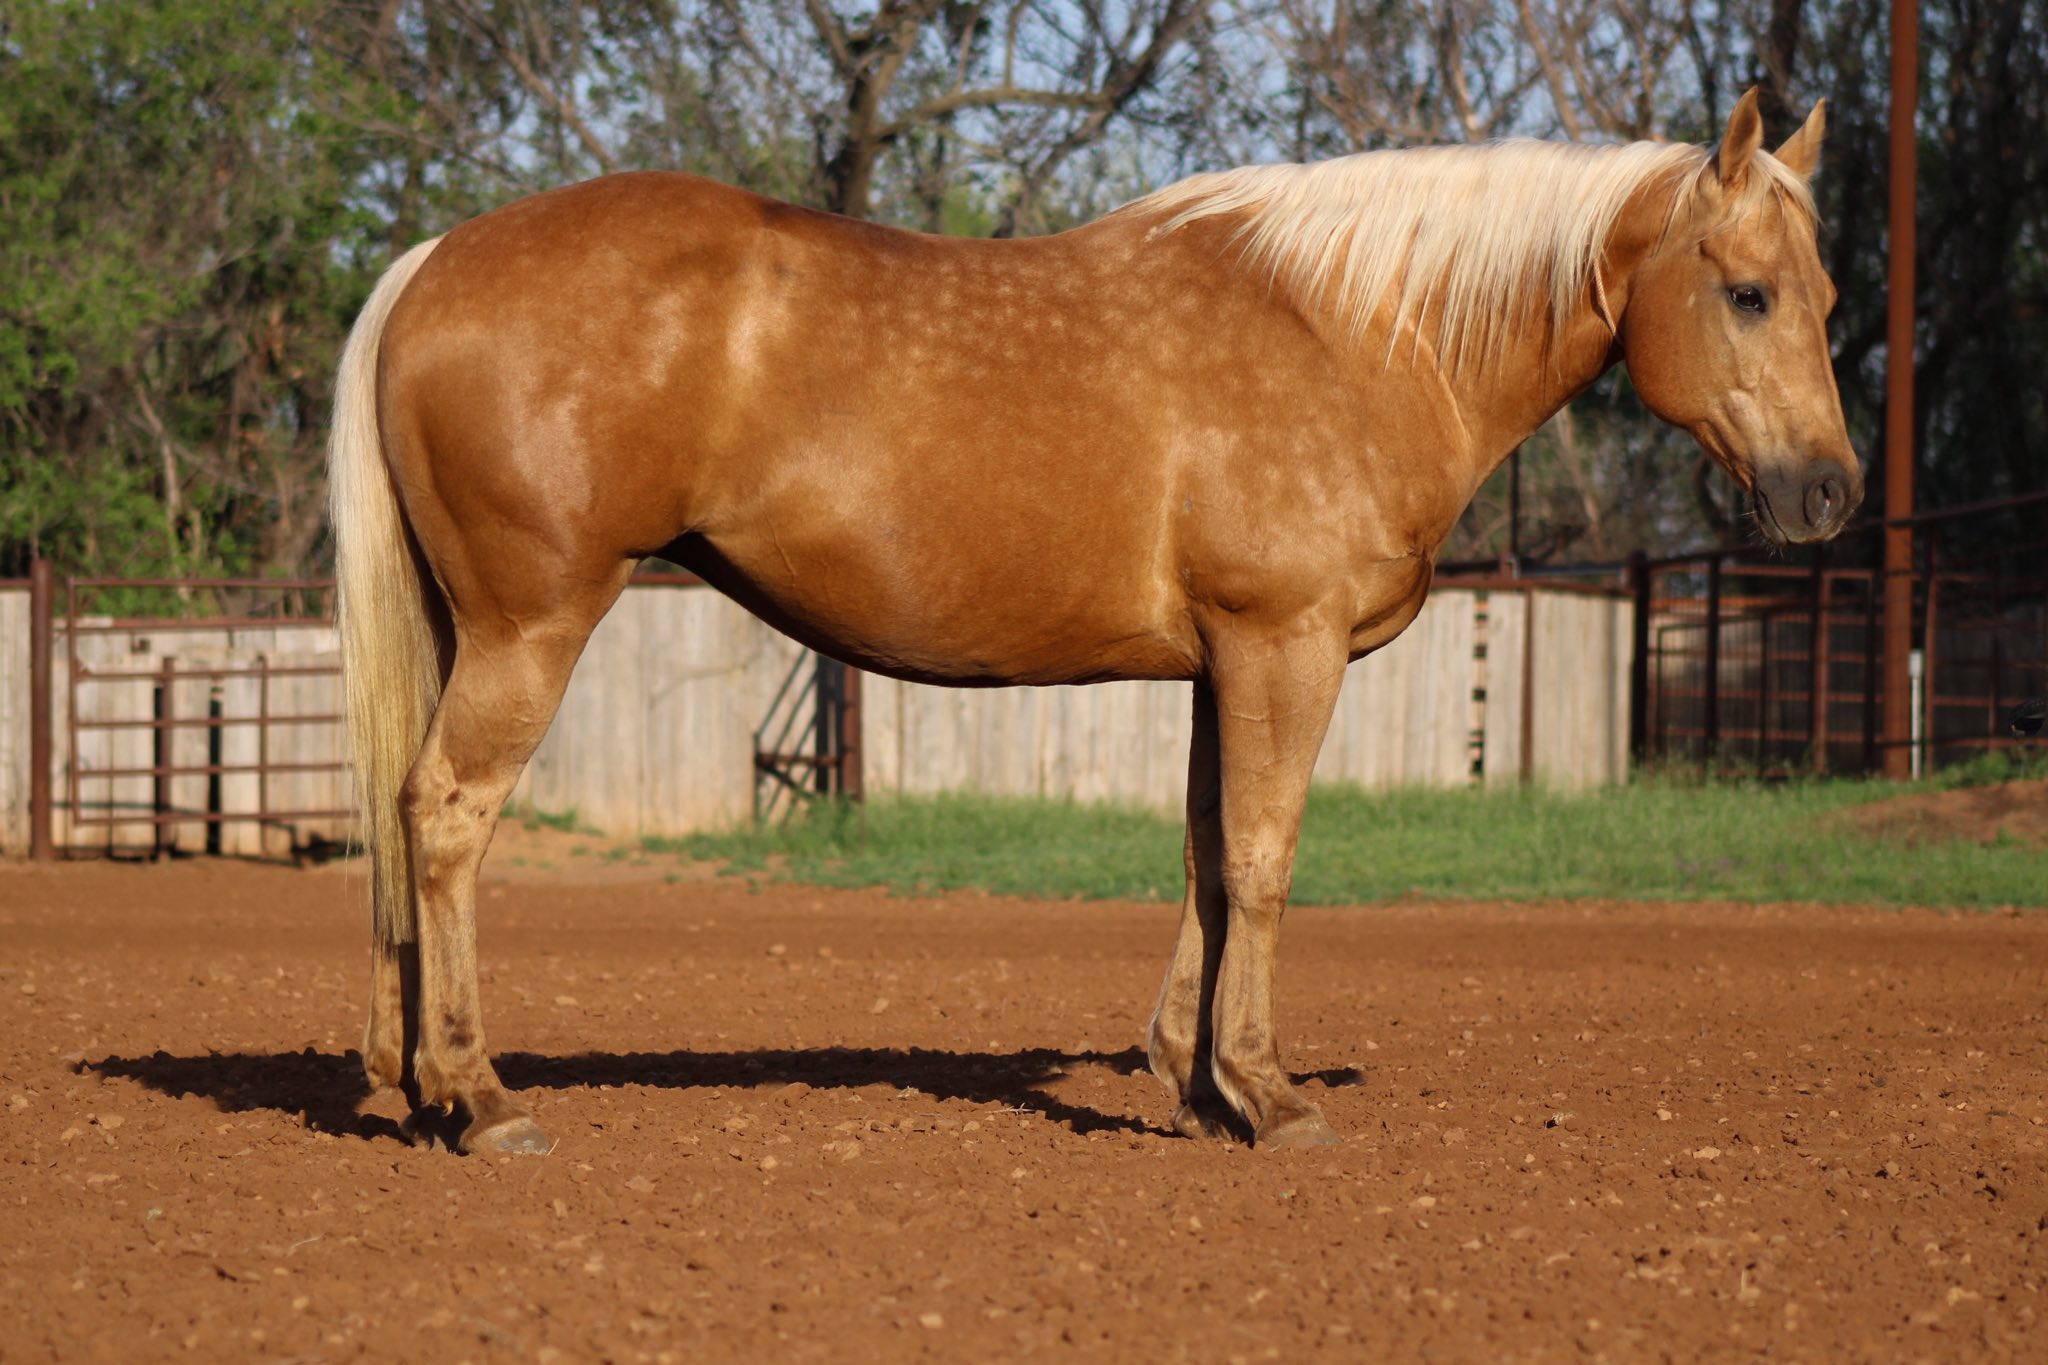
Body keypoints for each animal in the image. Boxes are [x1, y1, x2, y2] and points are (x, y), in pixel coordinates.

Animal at [330, 89, 1861, 1155]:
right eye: (1746, 293)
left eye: (1826, 294)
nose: (1831, 491)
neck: (1347, 334)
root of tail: (433, 262)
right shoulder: (1283, 647)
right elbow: (1263, 860)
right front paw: (1266, 1094)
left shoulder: (1218, 665)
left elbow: (1202, 857)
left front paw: (1193, 1082)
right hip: (532, 626)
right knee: (447, 815)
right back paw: (479, 1095)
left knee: (411, 816)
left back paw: (417, 1090)